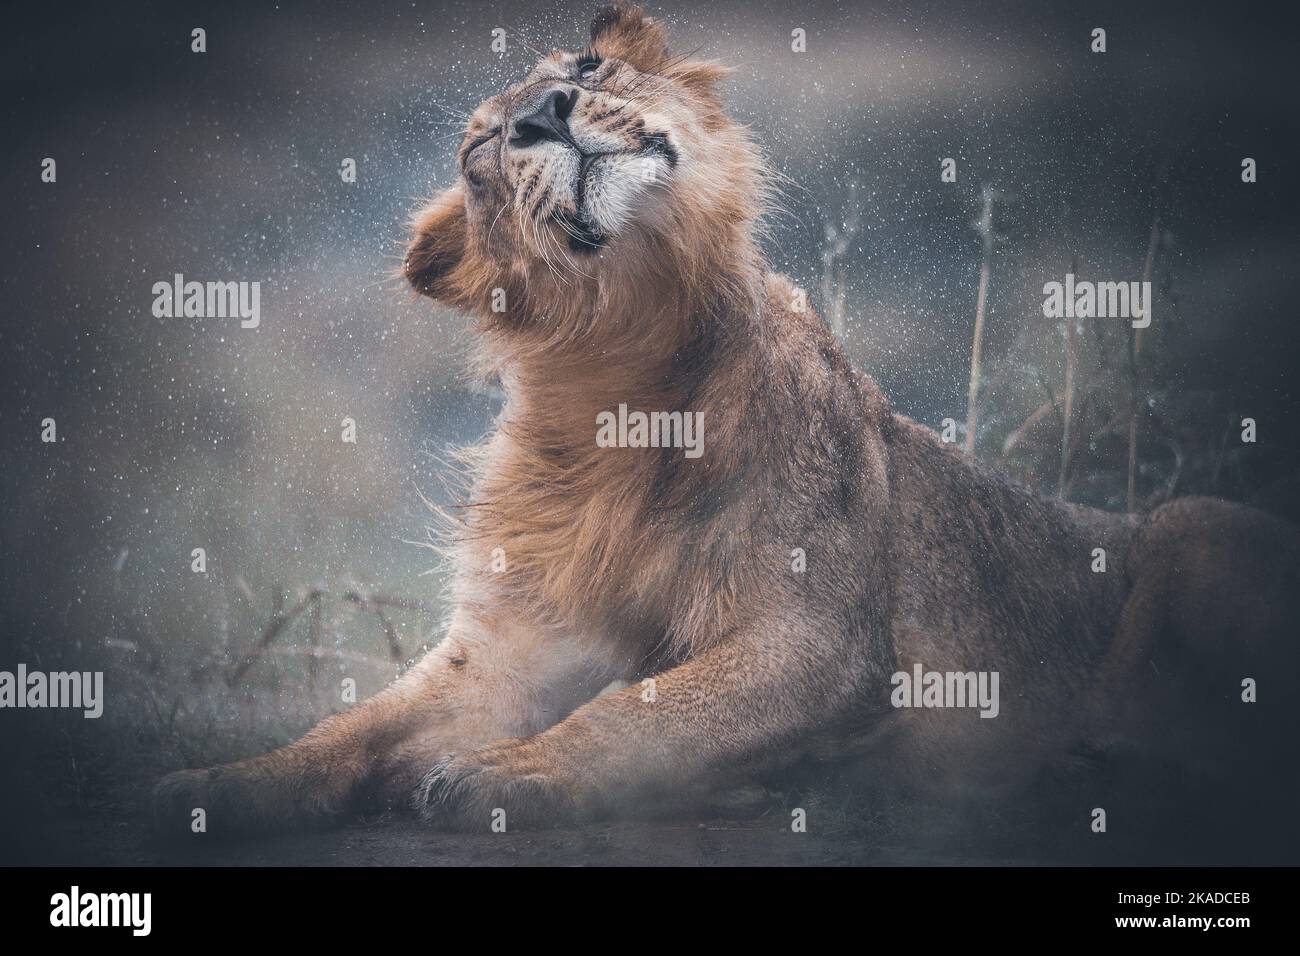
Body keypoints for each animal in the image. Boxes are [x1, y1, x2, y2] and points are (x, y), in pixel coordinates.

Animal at [154, 2, 1300, 842]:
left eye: (585, 64)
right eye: (482, 150)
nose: (545, 114)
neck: (625, 376)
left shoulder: (818, 638)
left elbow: (643, 710)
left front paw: (502, 775)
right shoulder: (520, 647)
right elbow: (353, 726)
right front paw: (217, 784)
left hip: (1194, 525)